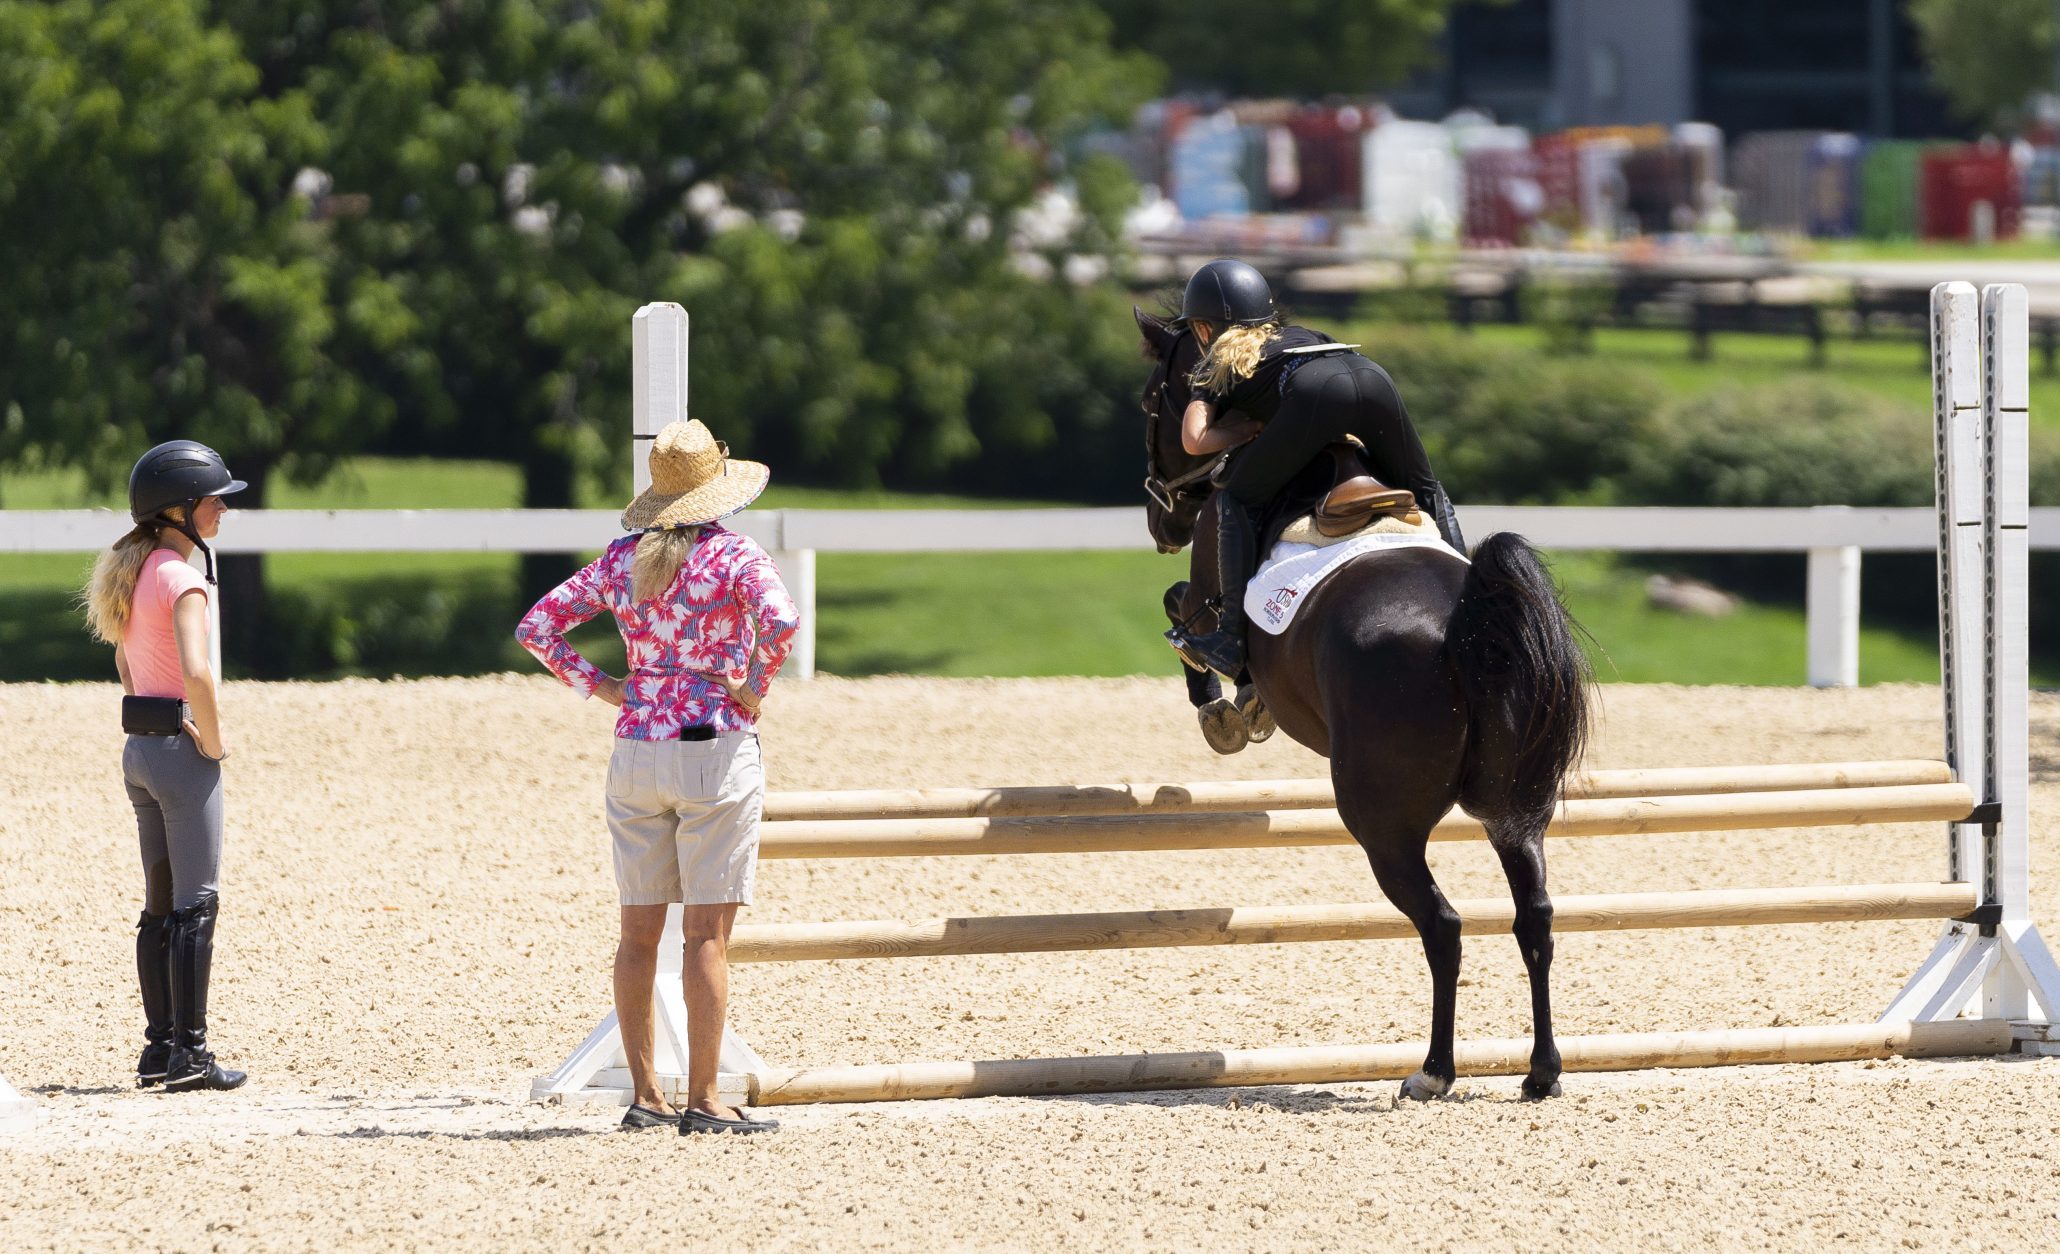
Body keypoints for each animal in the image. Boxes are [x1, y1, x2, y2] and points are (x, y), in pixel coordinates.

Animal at [1134, 307, 1594, 1100]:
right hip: (1515, 811)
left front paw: (1226, 712)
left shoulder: (1206, 582)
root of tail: (1464, 629)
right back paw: (1541, 1071)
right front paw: (1243, 708)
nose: (1159, 522)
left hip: (1382, 824)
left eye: (1149, 403)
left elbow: (1185, 619)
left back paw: (1433, 1071)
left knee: (1443, 926)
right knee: (1533, 920)